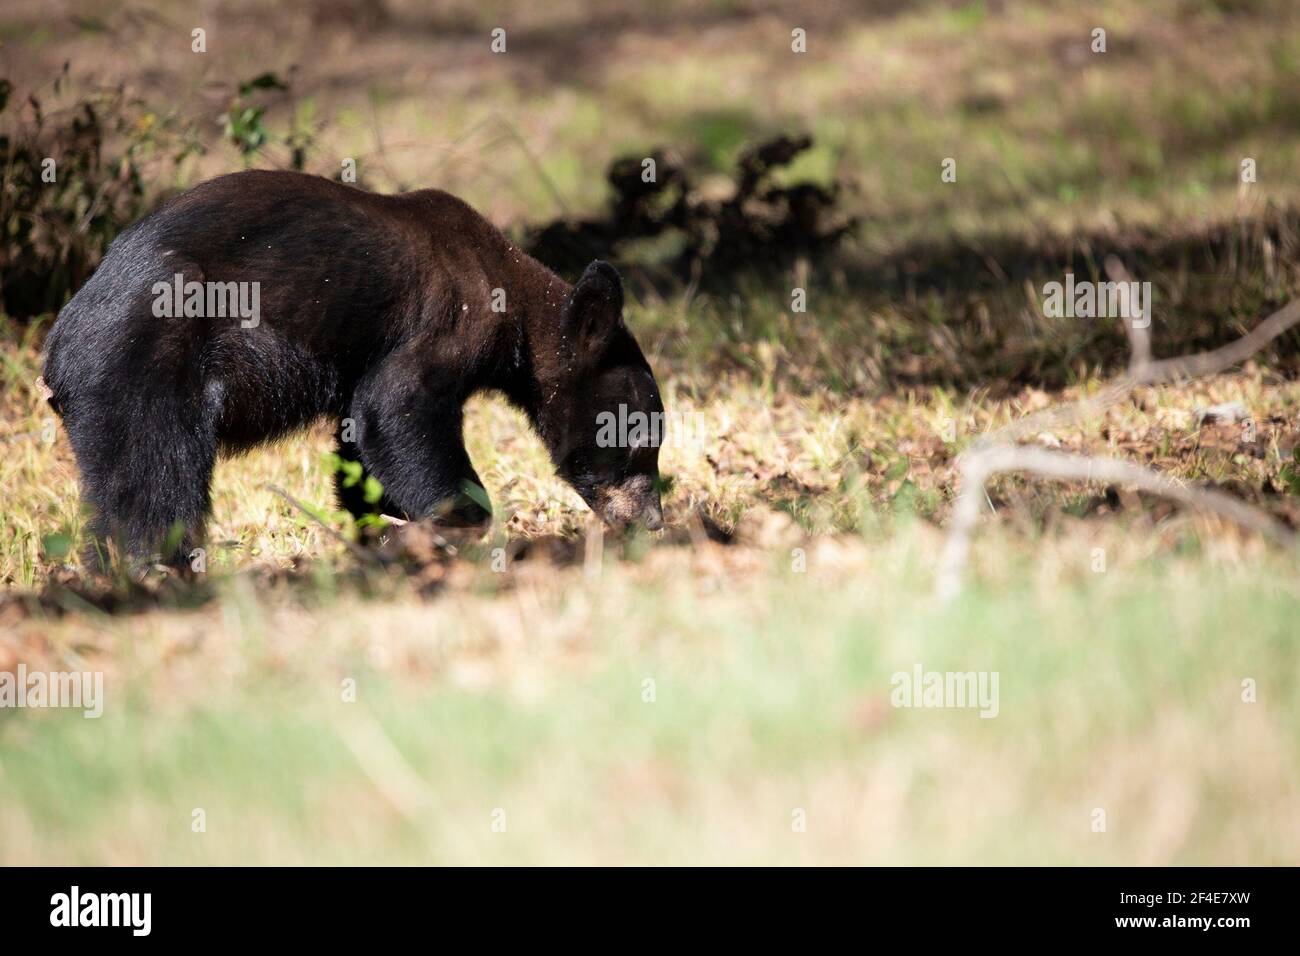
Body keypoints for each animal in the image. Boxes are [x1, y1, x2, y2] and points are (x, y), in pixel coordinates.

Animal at [41, 169, 666, 570]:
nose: (652, 521)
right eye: (637, 444)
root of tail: (59, 351)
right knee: (155, 477)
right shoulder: (451, 320)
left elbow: (362, 432)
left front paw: (383, 518)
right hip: (145, 360)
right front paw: (455, 517)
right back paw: (155, 569)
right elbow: (399, 404)